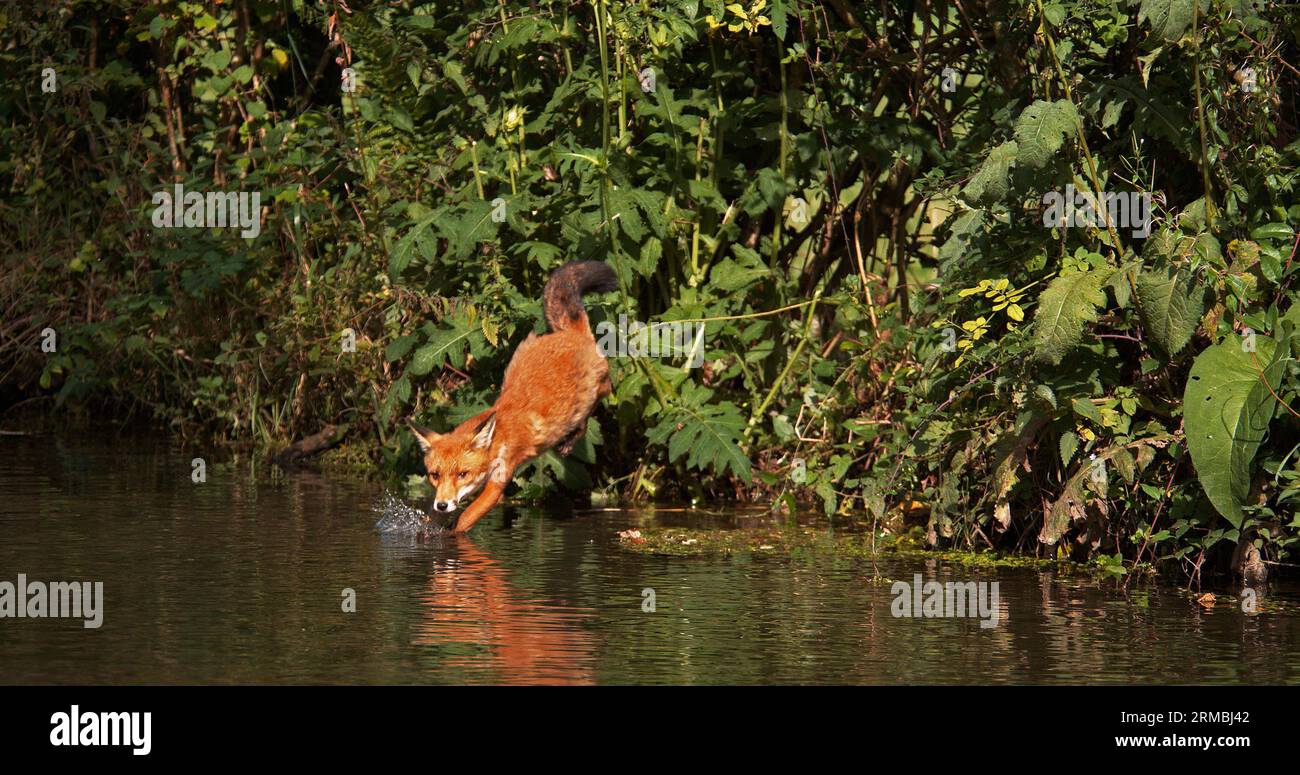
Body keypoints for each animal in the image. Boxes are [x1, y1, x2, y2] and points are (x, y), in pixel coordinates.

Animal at [407, 260, 619, 533]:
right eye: (435, 475)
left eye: (462, 474)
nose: (442, 505)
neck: (498, 437)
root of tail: (571, 334)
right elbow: (435, 518)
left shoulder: (499, 482)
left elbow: (464, 520)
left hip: (594, 392)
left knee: (597, 403)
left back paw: (570, 440)